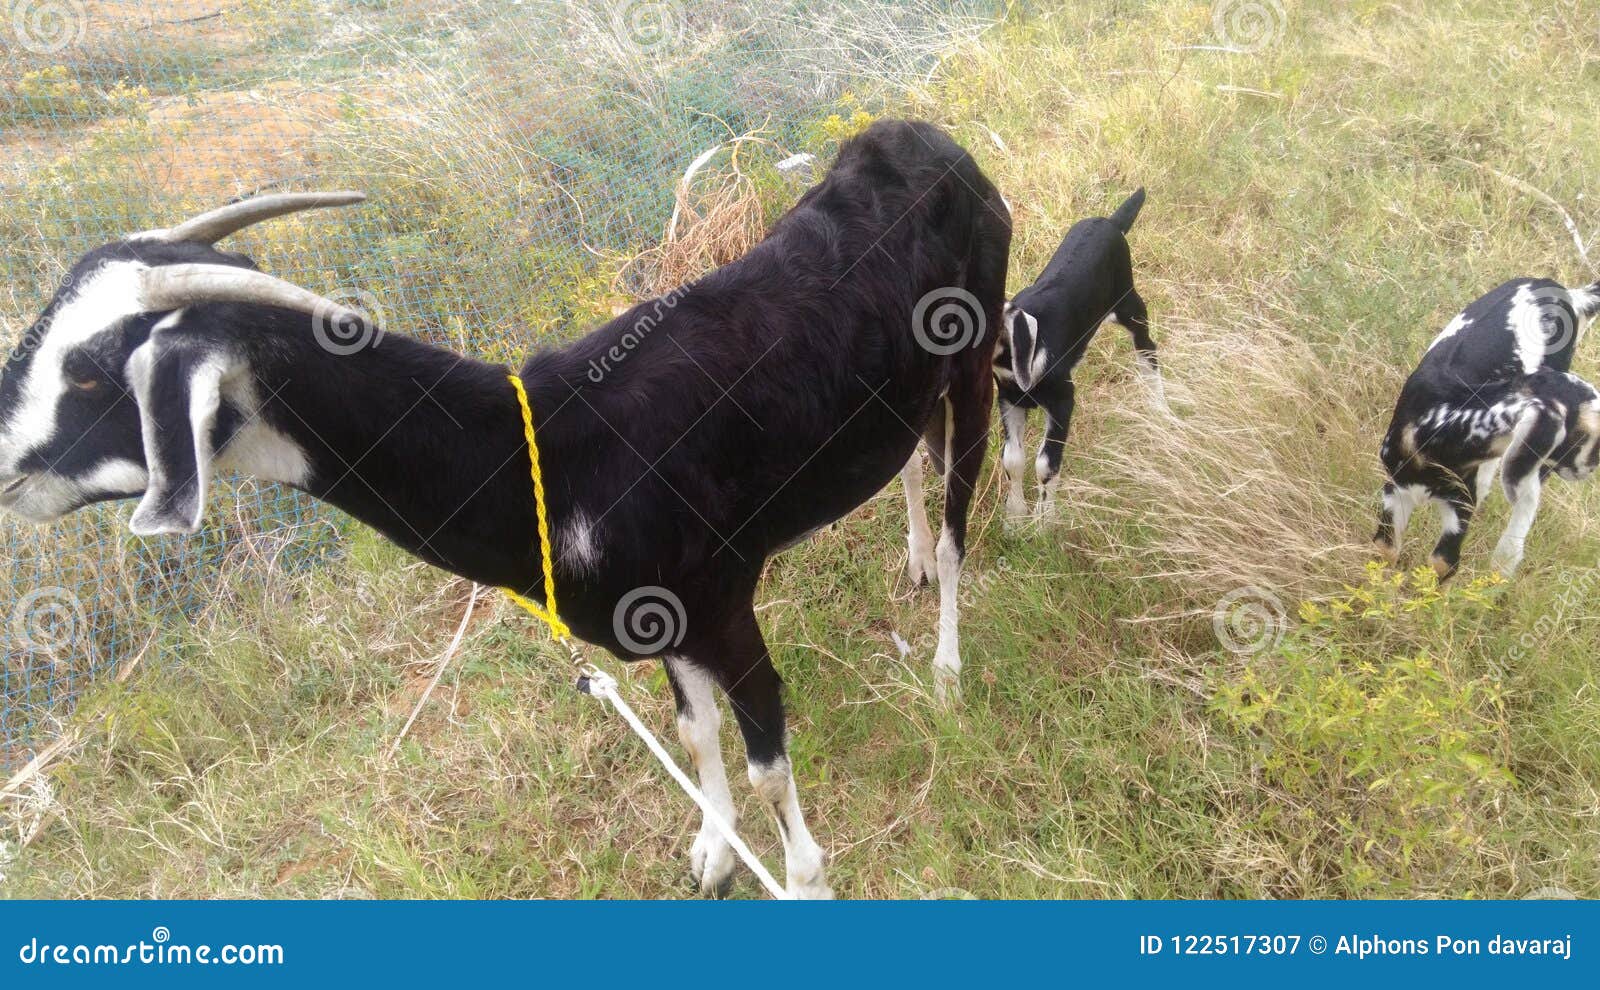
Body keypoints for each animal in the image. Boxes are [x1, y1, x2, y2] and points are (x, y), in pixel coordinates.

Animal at [0, 119, 1010, 898]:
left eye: (90, 371)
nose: (6, 466)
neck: (556, 453)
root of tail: (921, 137)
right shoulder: (656, 618)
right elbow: (696, 732)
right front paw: (715, 856)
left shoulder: (720, 600)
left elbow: (765, 756)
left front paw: (803, 880)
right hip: (903, 391)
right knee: (912, 466)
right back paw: (912, 565)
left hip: (973, 354)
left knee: (960, 518)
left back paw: (948, 664)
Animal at [993, 187, 1164, 519]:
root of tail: (1110, 222)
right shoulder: (1008, 399)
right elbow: (1013, 459)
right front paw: (1015, 518)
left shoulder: (1062, 401)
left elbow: (1046, 464)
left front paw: (1043, 522)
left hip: (1129, 302)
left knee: (1148, 348)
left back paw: (1159, 406)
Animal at [1375, 277, 1600, 577]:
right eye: (1585, 433)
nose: (1589, 469)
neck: (1440, 423)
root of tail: (1561, 290)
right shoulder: (1396, 487)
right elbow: (1385, 549)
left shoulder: (1460, 506)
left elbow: (1442, 562)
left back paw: (1505, 559)